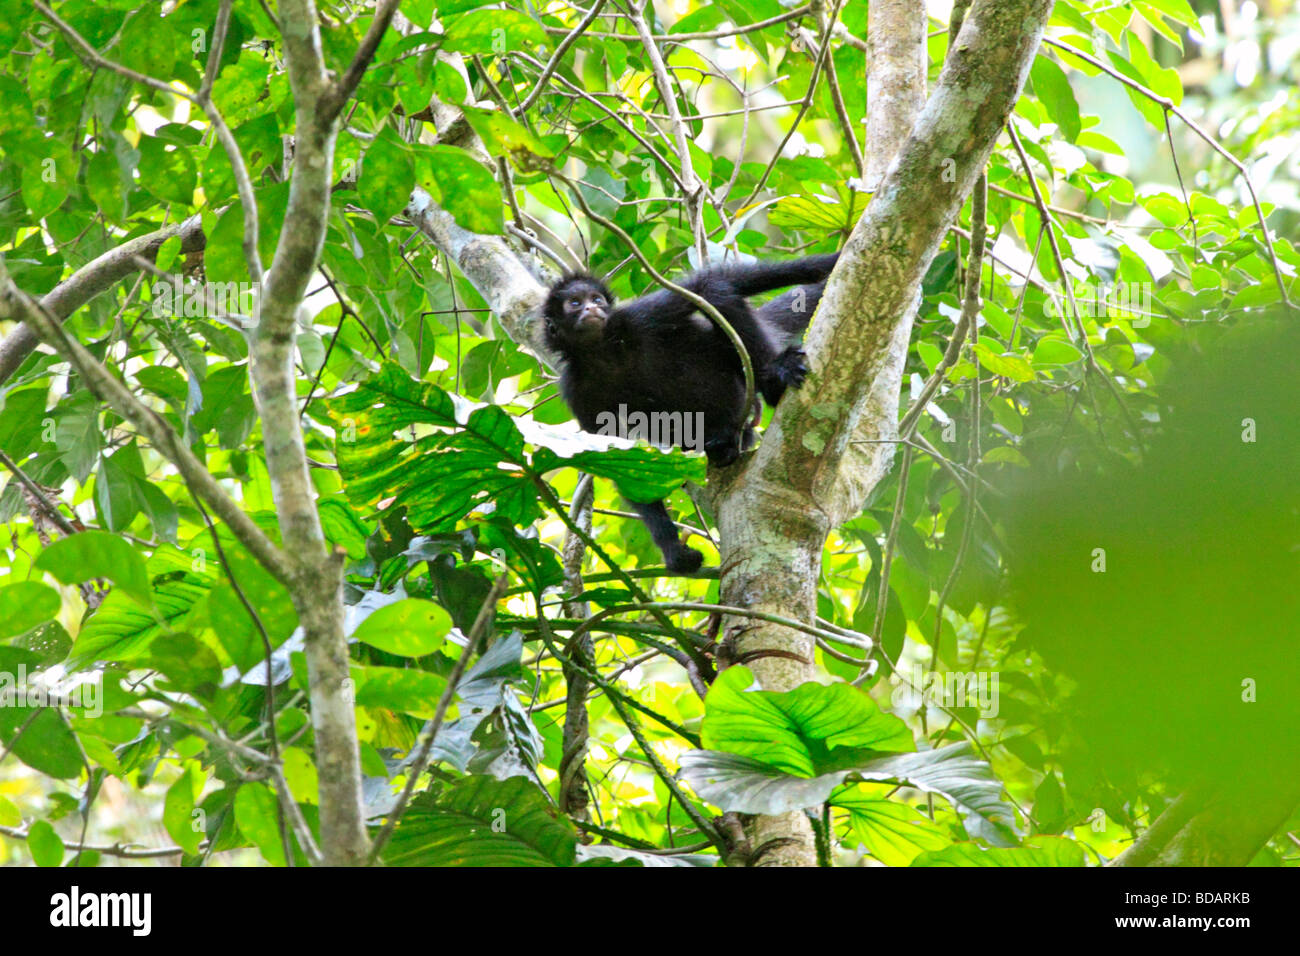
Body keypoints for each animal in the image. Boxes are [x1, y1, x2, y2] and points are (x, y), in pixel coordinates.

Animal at [542, 252, 839, 572]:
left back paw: (772, 383)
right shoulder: (577, 390)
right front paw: (674, 551)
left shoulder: (636, 318)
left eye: (596, 298)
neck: (603, 351)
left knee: (718, 294)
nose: (592, 308)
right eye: (574, 302)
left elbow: (710, 285)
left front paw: (833, 259)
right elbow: (612, 453)